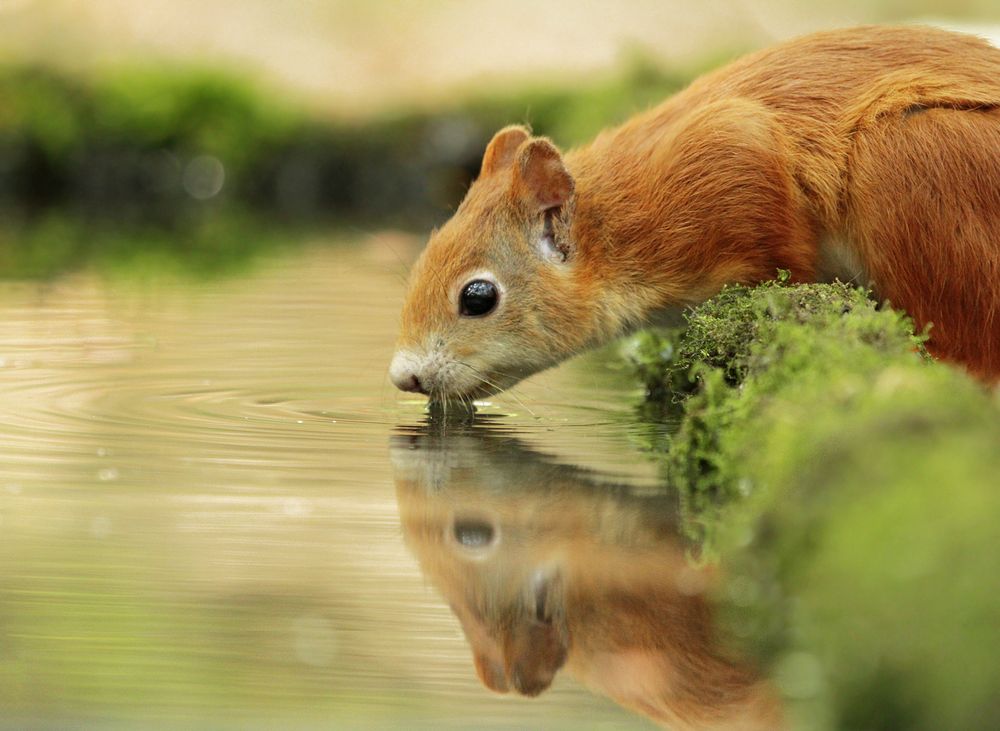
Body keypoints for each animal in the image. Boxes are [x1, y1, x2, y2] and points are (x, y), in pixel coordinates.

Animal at [390, 25, 1000, 400]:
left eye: (478, 297)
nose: (405, 377)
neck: (620, 229)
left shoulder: (731, 157)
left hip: (913, 158)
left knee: (969, 351)